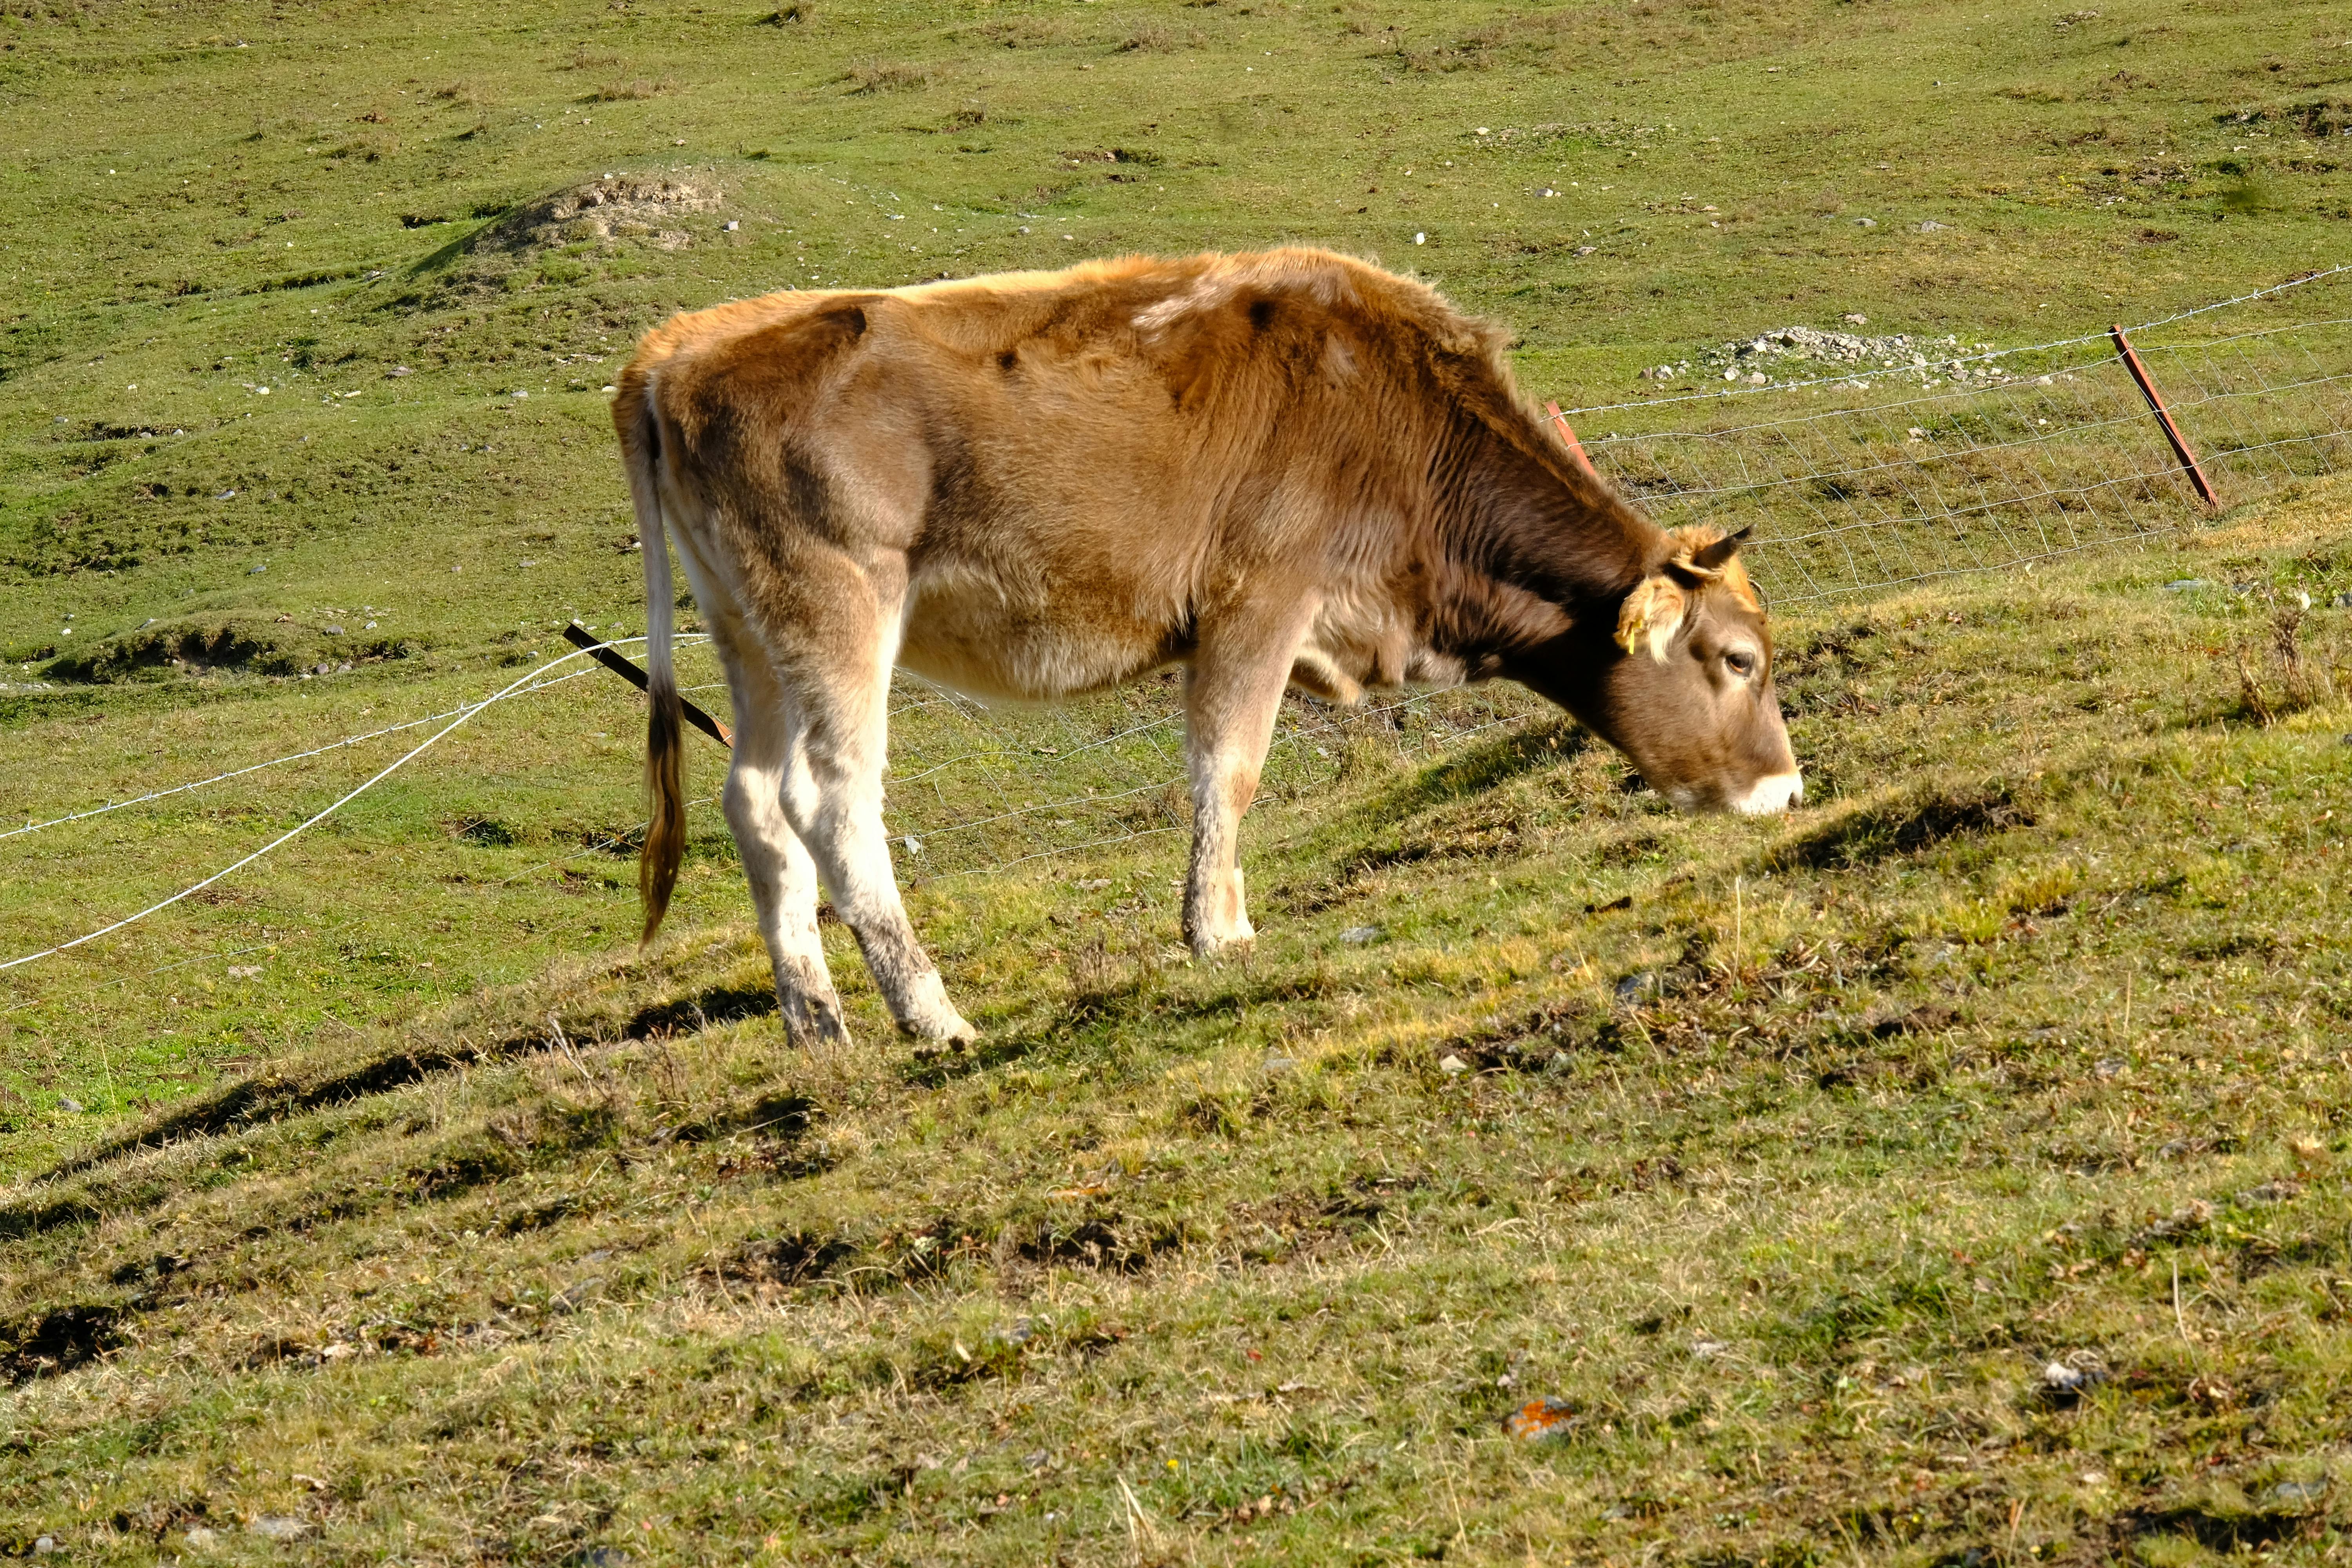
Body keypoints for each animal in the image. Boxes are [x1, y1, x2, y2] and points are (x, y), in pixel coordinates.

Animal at [614, 247, 1799, 1048]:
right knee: (831, 801)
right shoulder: (1258, 603)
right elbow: (1228, 771)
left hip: (748, 631)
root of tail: (676, 347)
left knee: (753, 803)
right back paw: (931, 1012)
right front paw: (1219, 932)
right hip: (839, 606)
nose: (1786, 789)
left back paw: (817, 1024)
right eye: (1739, 660)